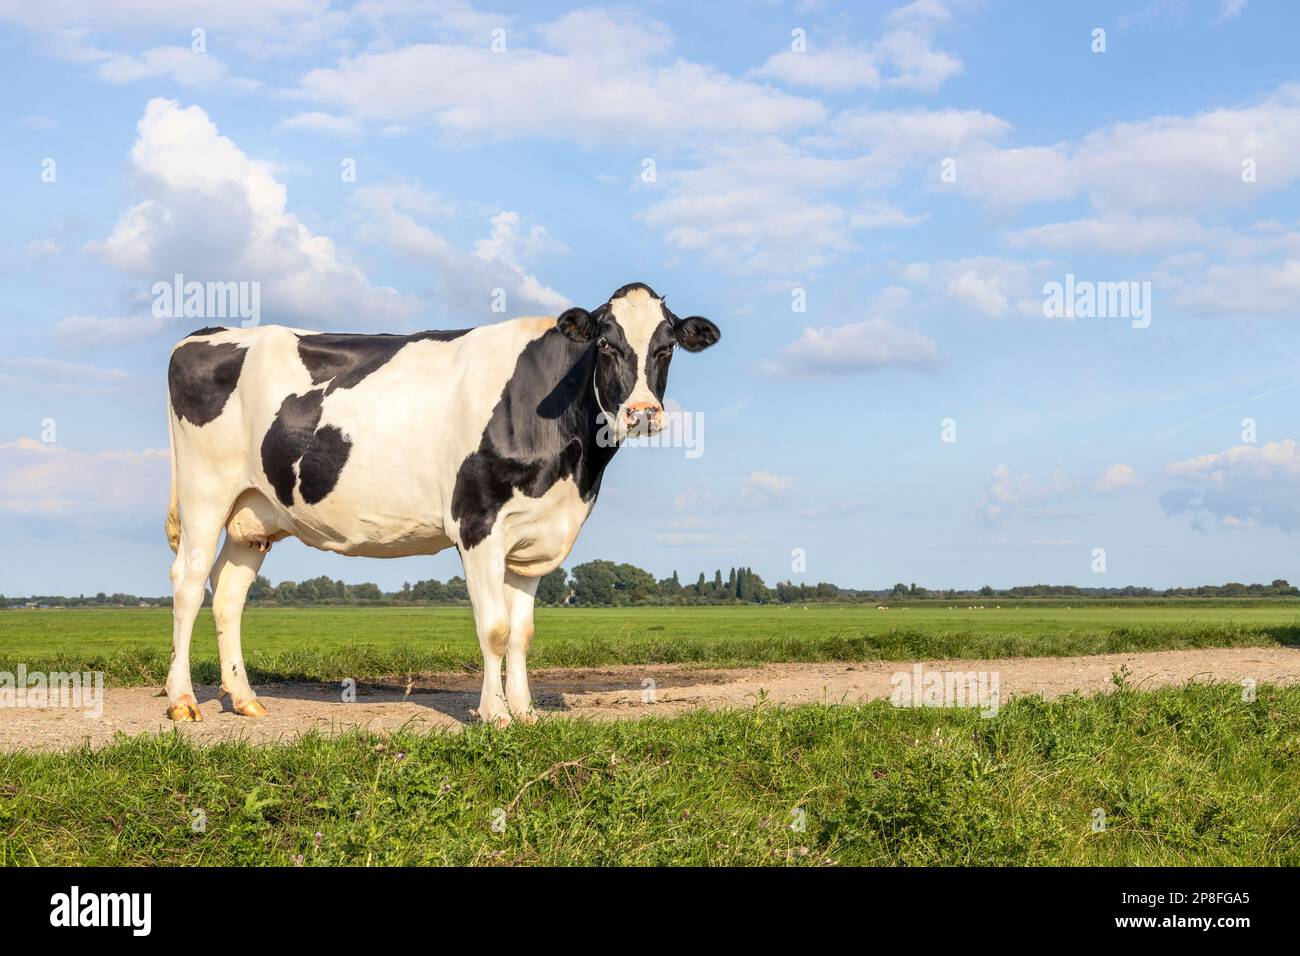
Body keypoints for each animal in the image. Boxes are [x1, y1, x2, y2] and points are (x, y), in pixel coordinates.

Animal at [163, 283, 719, 725]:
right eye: (606, 343)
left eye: (667, 348)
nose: (642, 412)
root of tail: (205, 334)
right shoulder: (477, 523)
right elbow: (495, 629)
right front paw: (495, 715)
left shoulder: (534, 534)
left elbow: (522, 632)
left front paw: (526, 712)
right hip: (204, 491)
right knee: (188, 583)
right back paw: (182, 701)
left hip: (253, 512)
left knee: (227, 593)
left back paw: (244, 699)